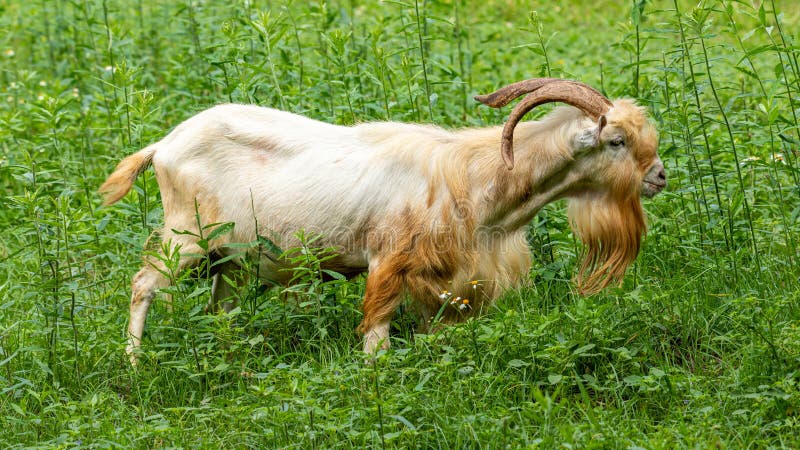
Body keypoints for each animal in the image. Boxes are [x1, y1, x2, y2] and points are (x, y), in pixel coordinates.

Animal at [100, 78, 666, 364]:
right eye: (617, 141)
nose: (660, 176)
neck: (473, 176)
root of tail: (163, 146)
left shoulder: (445, 279)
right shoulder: (389, 259)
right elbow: (376, 337)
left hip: (231, 258)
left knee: (222, 309)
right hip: (186, 236)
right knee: (143, 283)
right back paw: (134, 363)